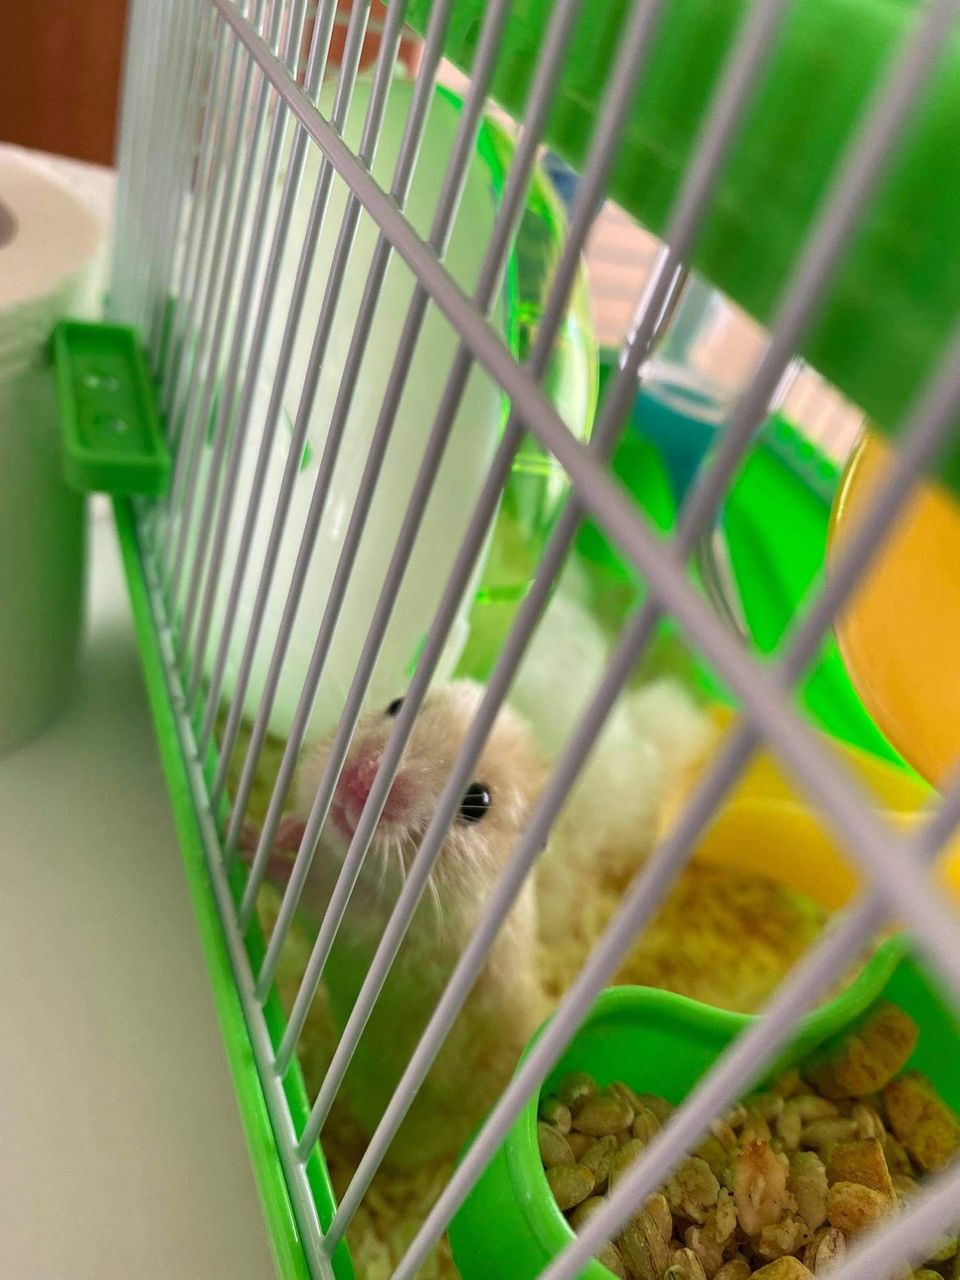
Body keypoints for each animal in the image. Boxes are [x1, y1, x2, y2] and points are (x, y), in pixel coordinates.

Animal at [245, 680, 549, 1168]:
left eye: (477, 803)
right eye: (398, 705)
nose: (361, 779)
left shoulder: (347, 923)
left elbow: (296, 881)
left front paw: (247, 838)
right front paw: (290, 826)